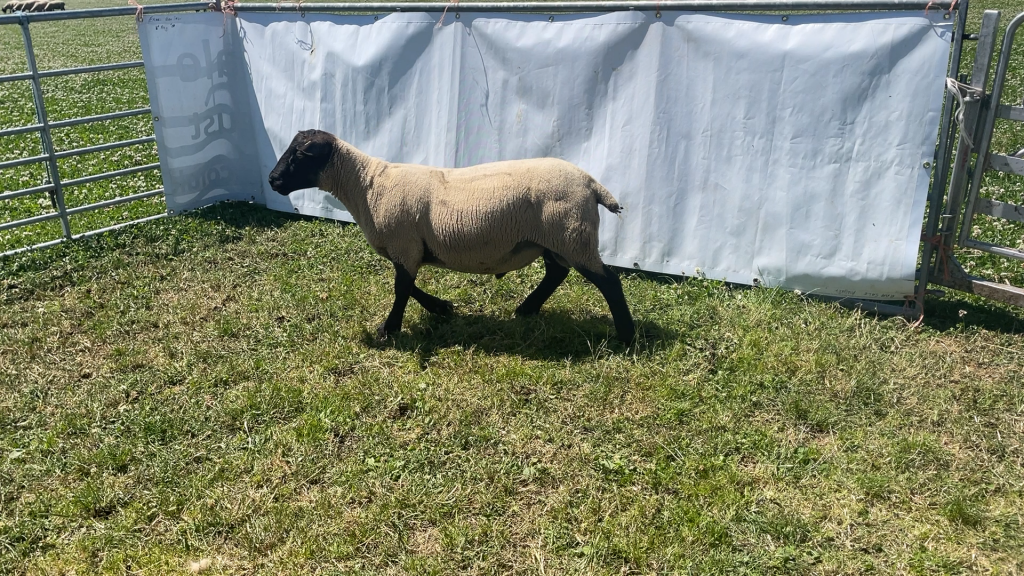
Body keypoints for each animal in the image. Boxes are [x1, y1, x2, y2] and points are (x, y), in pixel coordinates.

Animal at [268, 129, 636, 343]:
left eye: (300, 154)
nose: (273, 180)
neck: (367, 185)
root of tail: (591, 183)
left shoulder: (404, 244)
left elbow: (402, 288)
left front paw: (389, 330)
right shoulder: (410, 248)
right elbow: (409, 286)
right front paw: (442, 308)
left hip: (573, 236)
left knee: (609, 282)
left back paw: (626, 334)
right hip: (555, 239)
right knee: (556, 273)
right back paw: (526, 309)